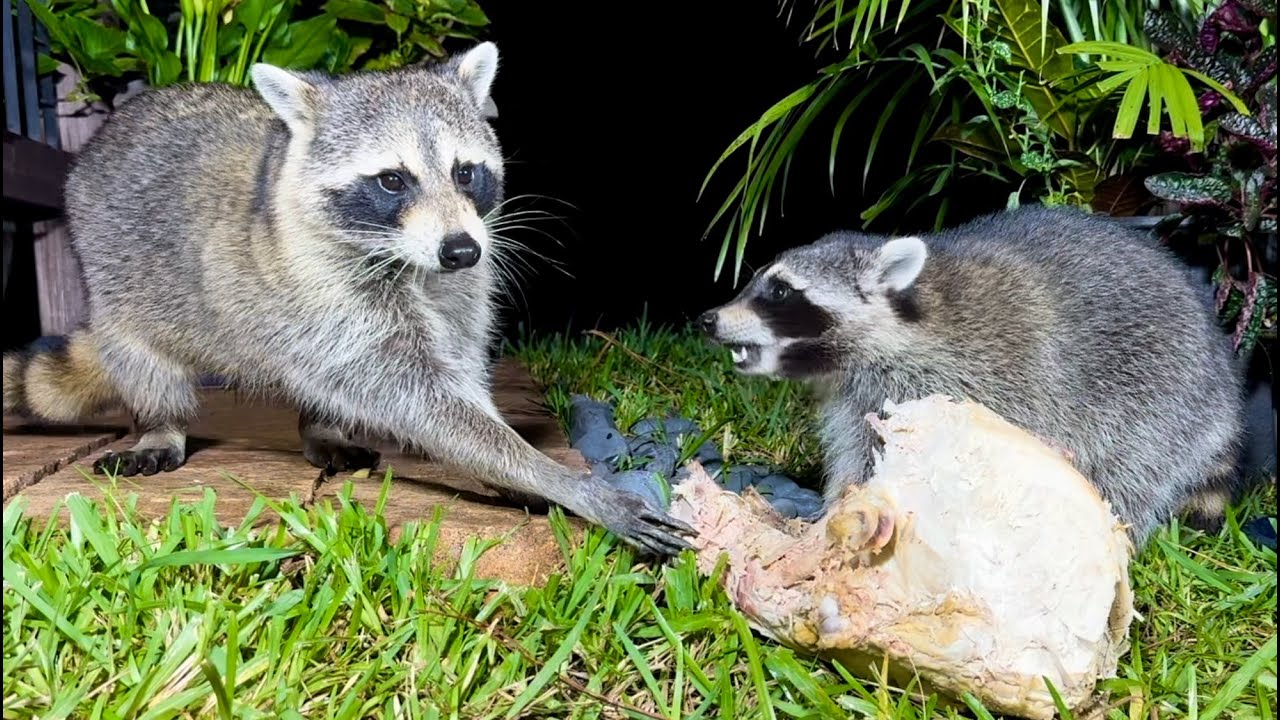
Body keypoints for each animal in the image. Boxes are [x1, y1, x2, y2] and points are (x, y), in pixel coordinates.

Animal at [1, 43, 692, 556]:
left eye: (465, 171)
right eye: (391, 181)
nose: (462, 250)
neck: (415, 265)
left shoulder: (462, 286)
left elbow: (457, 369)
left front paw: (519, 469)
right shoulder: (324, 285)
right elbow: (416, 398)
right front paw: (556, 478)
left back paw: (322, 426)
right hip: (115, 272)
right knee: (143, 355)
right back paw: (161, 423)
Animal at [698, 205, 1251, 548]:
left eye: (781, 292)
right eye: (758, 281)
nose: (708, 319)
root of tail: (1221, 375)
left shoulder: (1001, 377)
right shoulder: (860, 397)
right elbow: (858, 452)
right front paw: (837, 507)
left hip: (1162, 394)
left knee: (1134, 470)